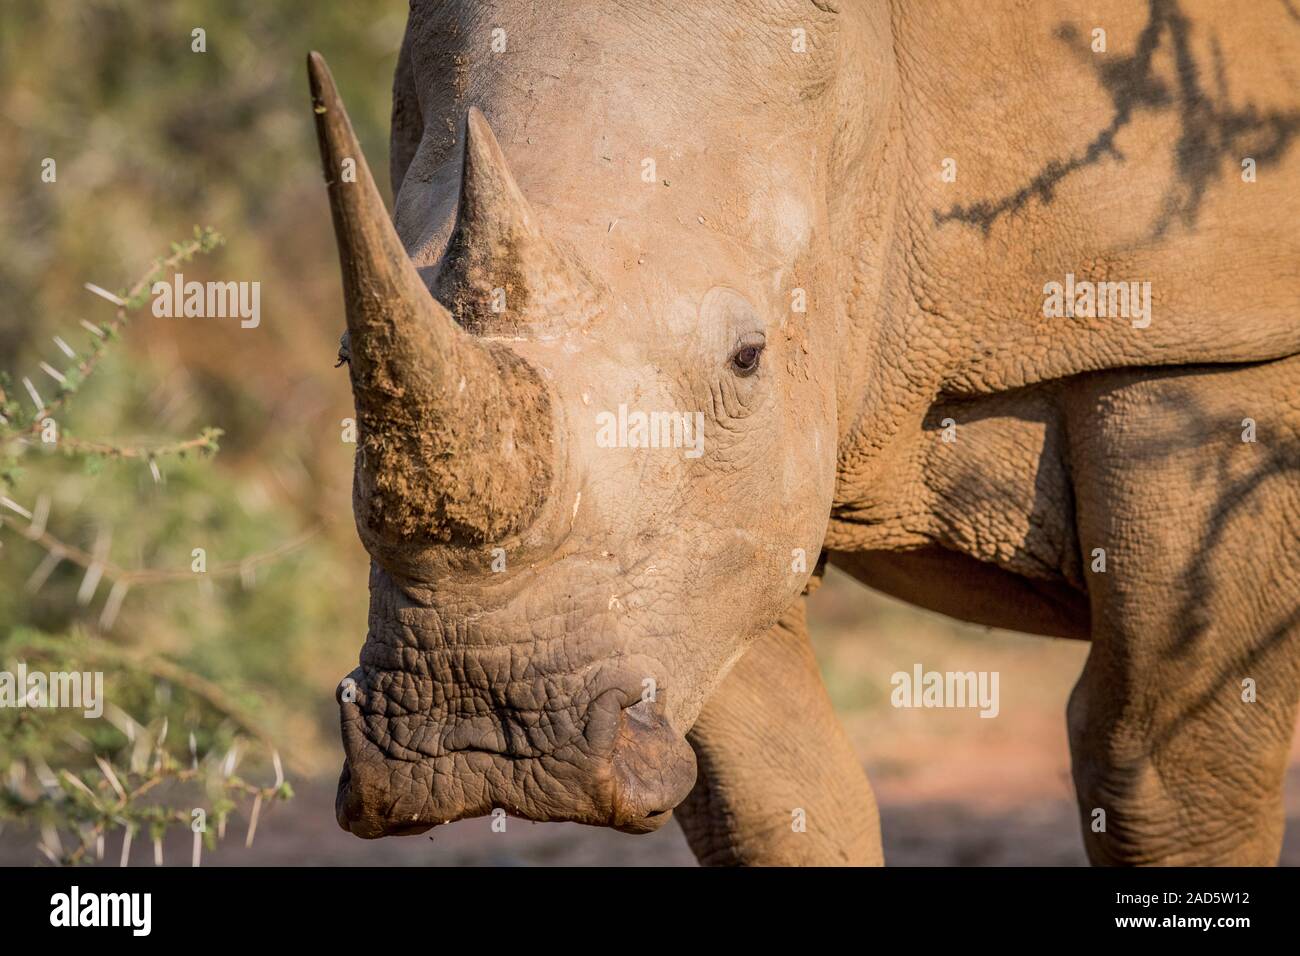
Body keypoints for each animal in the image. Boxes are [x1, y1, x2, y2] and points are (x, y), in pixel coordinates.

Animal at [312, 0, 1300, 866]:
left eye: (748, 358)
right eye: (345, 360)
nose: (473, 738)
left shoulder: (1211, 344)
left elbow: (1164, 777)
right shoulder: (712, 535)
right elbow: (777, 801)